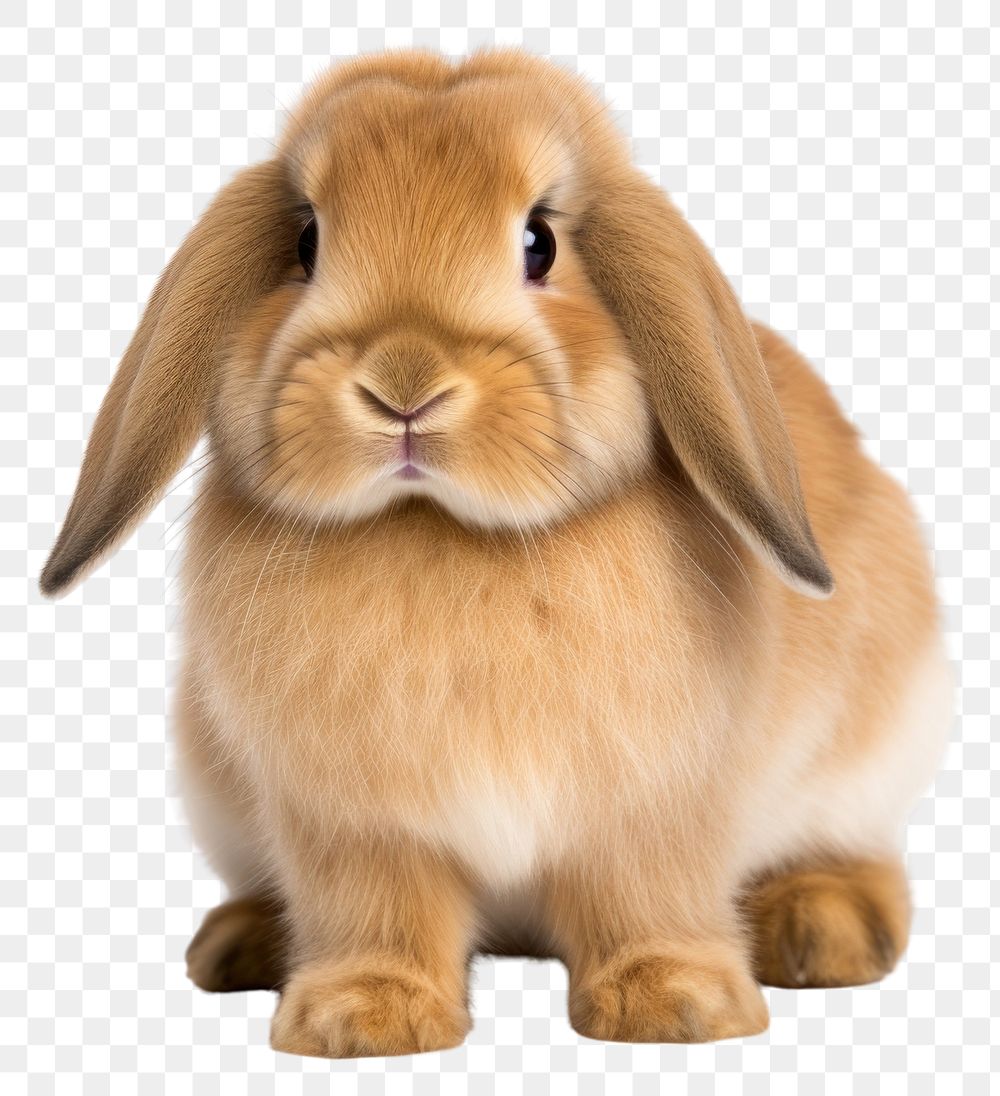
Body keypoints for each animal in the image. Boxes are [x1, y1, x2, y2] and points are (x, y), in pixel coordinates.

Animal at [40, 47, 952, 1057]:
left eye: (538, 242)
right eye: (307, 242)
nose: (403, 384)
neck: (445, 530)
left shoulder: (653, 801)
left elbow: (645, 890)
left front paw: (674, 1004)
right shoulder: (353, 823)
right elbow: (379, 909)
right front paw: (362, 1016)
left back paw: (824, 927)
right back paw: (243, 944)